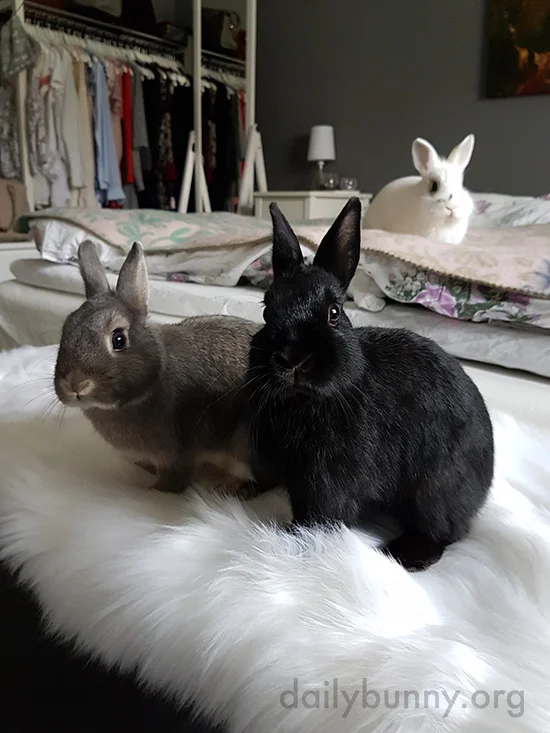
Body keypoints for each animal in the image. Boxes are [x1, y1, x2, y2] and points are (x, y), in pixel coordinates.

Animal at [54, 240, 260, 496]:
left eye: (118, 339)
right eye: (65, 329)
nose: (75, 385)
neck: (154, 378)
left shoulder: (177, 453)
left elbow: (176, 479)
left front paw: (156, 490)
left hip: (243, 445)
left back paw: (226, 486)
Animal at [247, 197, 494, 571]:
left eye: (334, 312)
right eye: (266, 310)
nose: (293, 359)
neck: (307, 401)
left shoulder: (328, 485)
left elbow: (319, 519)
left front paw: (293, 541)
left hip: (435, 489)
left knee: (443, 533)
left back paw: (402, 555)